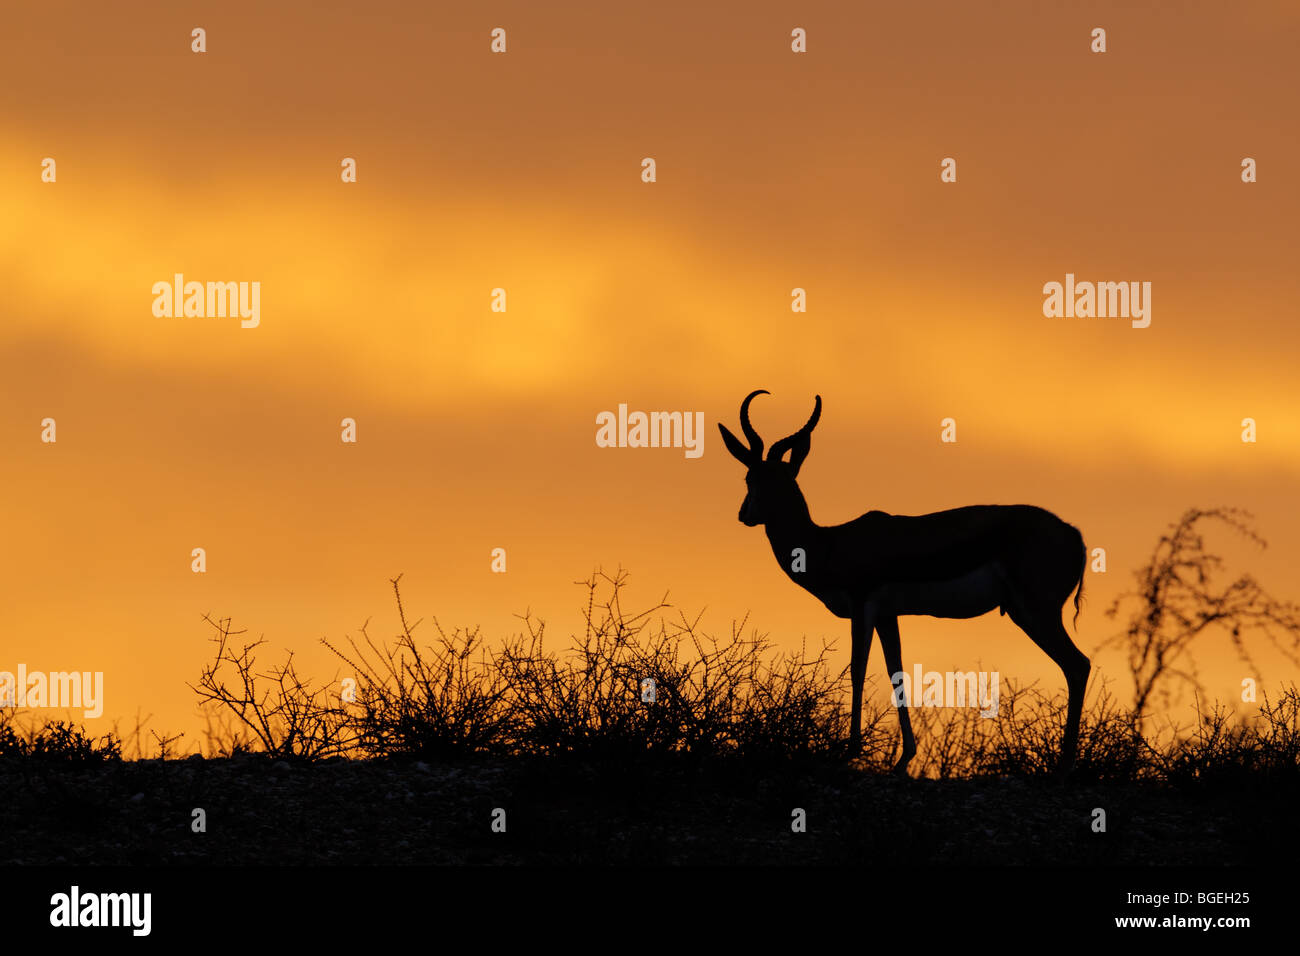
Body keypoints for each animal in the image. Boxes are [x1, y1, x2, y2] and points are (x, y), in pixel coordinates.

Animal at [719, 390, 1091, 776]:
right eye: (750, 478)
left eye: (773, 481)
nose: (745, 515)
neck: (829, 542)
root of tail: (1074, 535)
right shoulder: (887, 614)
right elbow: (895, 670)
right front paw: (903, 759)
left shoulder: (862, 605)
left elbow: (857, 669)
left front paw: (850, 751)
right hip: (1023, 613)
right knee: (1074, 667)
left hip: (1036, 612)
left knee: (1078, 665)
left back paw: (1063, 767)